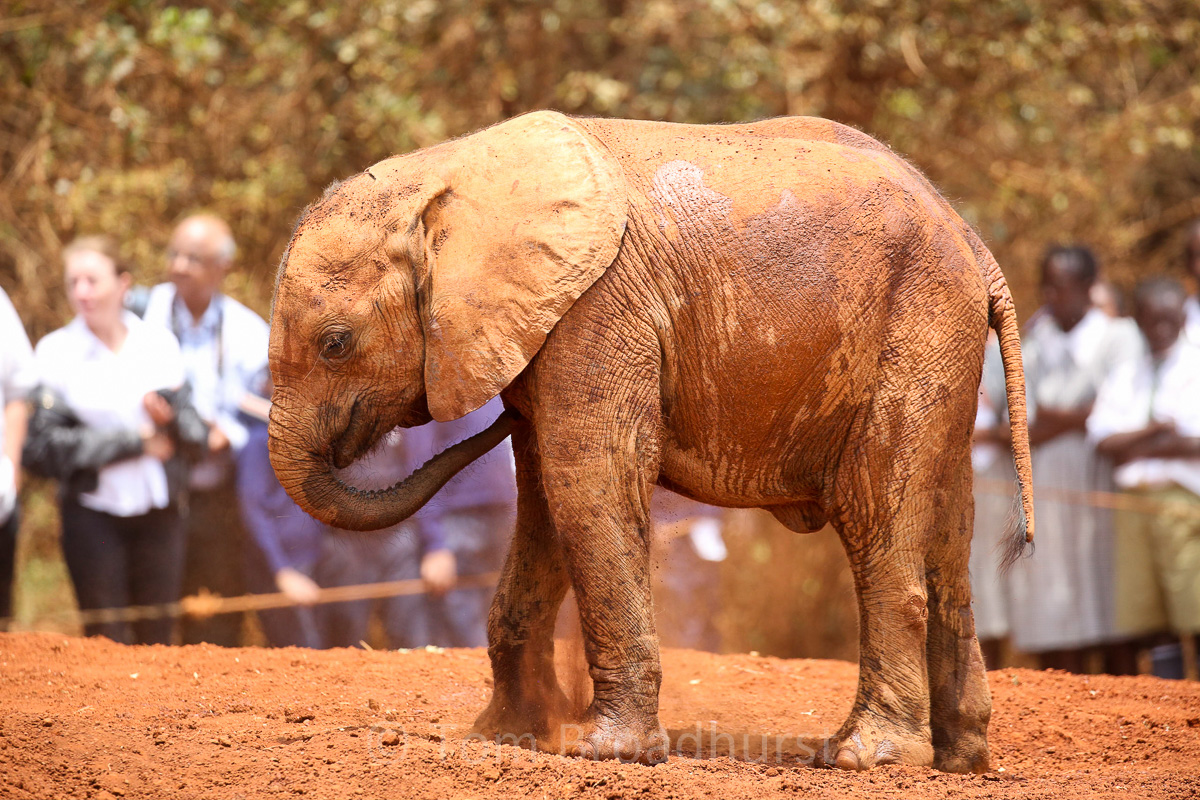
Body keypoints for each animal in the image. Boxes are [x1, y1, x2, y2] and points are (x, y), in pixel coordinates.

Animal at [267, 110, 1035, 773]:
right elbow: (545, 498)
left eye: (335, 344)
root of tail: (971, 238)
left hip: (916, 326)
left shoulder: (599, 307)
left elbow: (587, 485)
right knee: (947, 533)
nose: (489, 420)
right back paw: (961, 758)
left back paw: (865, 758)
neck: (447, 173)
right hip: (939, 346)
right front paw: (505, 735)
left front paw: (603, 752)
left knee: (878, 515)